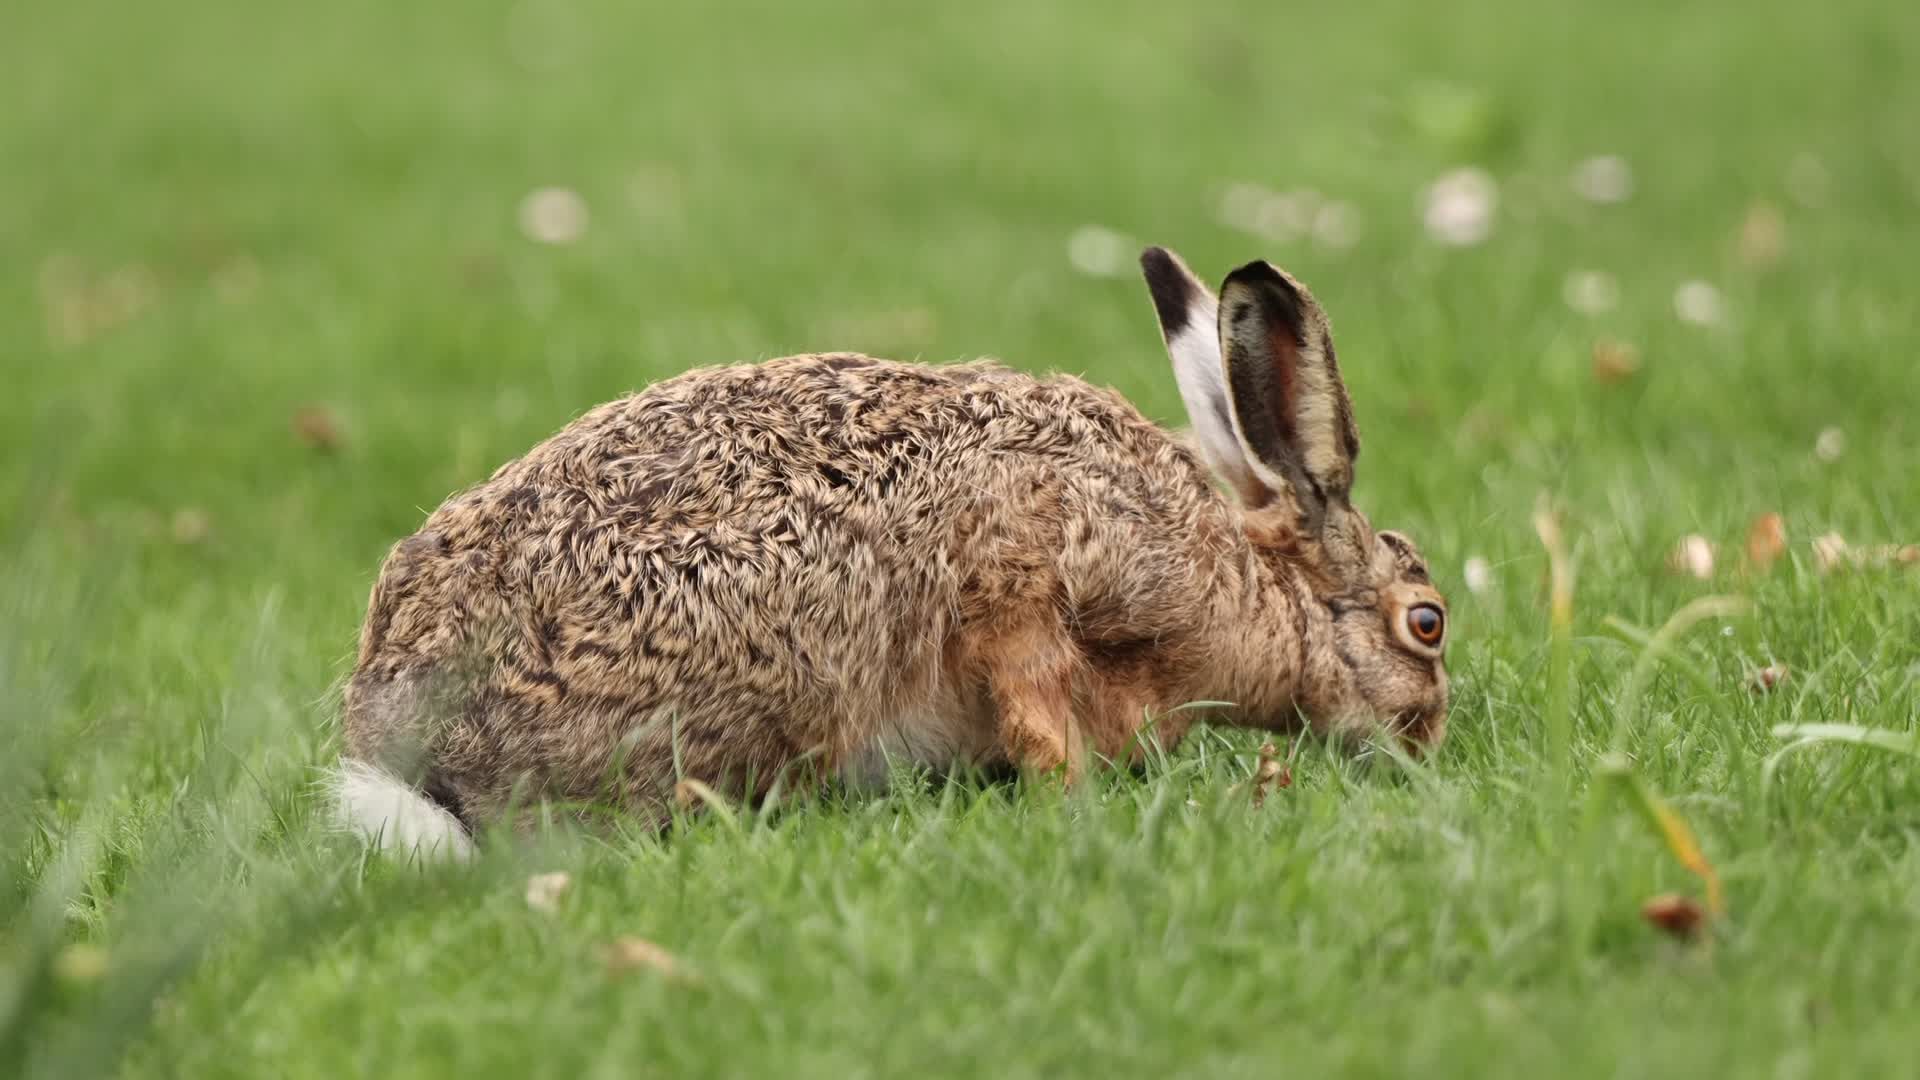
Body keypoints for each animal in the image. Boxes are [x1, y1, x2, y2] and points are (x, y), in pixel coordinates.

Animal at [333, 247, 1450, 859]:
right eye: (1426, 624)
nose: (1430, 741)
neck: (1251, 595)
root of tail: (418, 759)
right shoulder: (1020, 576)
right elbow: (1035, 699)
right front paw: (1074, 799)